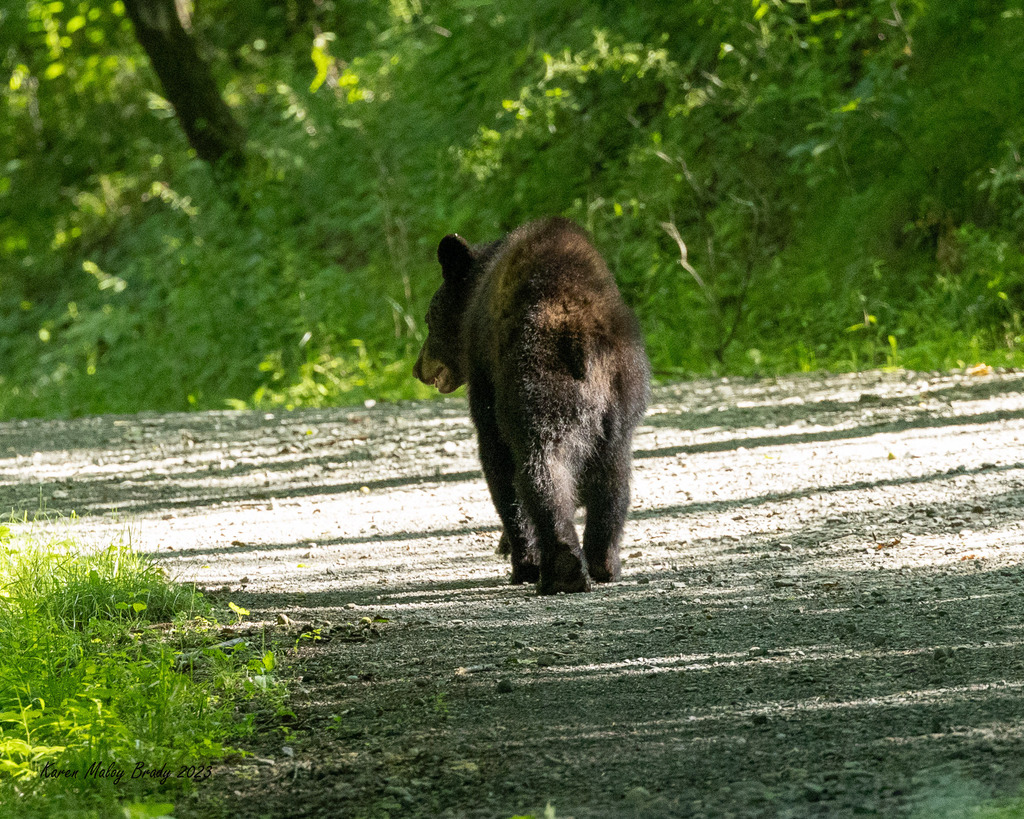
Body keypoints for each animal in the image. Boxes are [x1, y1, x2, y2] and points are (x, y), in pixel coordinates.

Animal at [413, 217, 649, 594]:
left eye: (428, 318)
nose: (417, 368)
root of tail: (575, 331)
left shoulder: (486, 376)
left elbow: (495, 459)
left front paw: (520, 558)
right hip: (623, 393)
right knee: (614, 476)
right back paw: (604, 562)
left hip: (534, 384)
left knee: (539, 468)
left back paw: (560, 568)